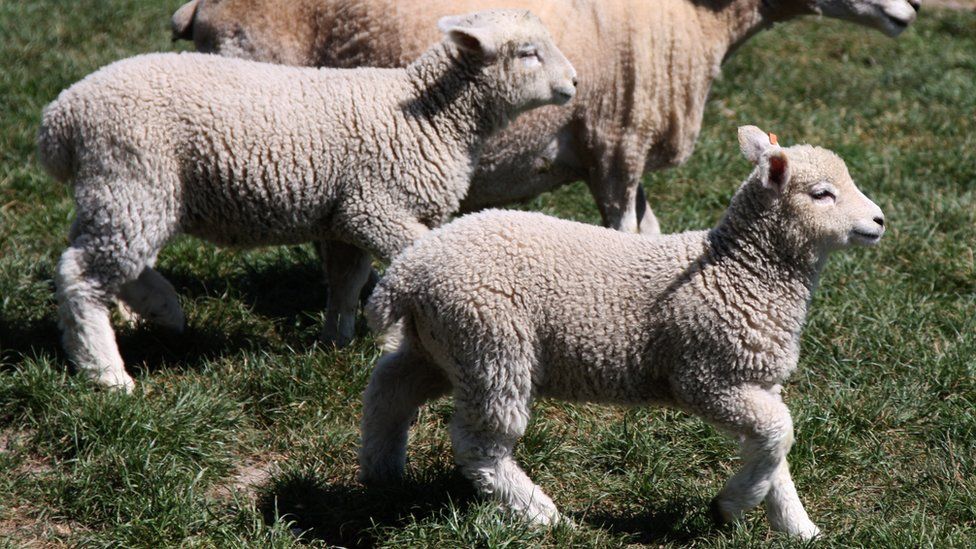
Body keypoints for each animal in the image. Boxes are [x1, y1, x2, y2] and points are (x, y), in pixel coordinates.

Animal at [37, 9, 578, 392]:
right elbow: (408, 259)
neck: (429, 115)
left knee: (103, 256)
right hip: (133, 178)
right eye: (528, 53)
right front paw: (392, 336)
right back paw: (106, 371)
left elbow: (345, 283)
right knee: (82, 274)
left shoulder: (345, 217)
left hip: (117, 190)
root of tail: (61, 116)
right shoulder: (374, 207)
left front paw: (336, 341)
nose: (575, 83)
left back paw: (161, 308)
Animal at [172, 0, 918, 235]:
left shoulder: (619, 146)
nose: (910, 11)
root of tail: (202, 10)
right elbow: (624, 231)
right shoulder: (618, 139)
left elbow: (646, 228)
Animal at [359, 126, 887, 538]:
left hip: (442, 345)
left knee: (388, 391)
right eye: (822, 193)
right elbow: (779, 432)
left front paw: (798, 527)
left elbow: (774, 449)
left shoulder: (755, 380)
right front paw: (730, 506)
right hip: (491, 345)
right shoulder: (708, 378)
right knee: (480, 445)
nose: (880, 220)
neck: (738, 270)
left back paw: (382, 476)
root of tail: (408, 272)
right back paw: (543, 514)